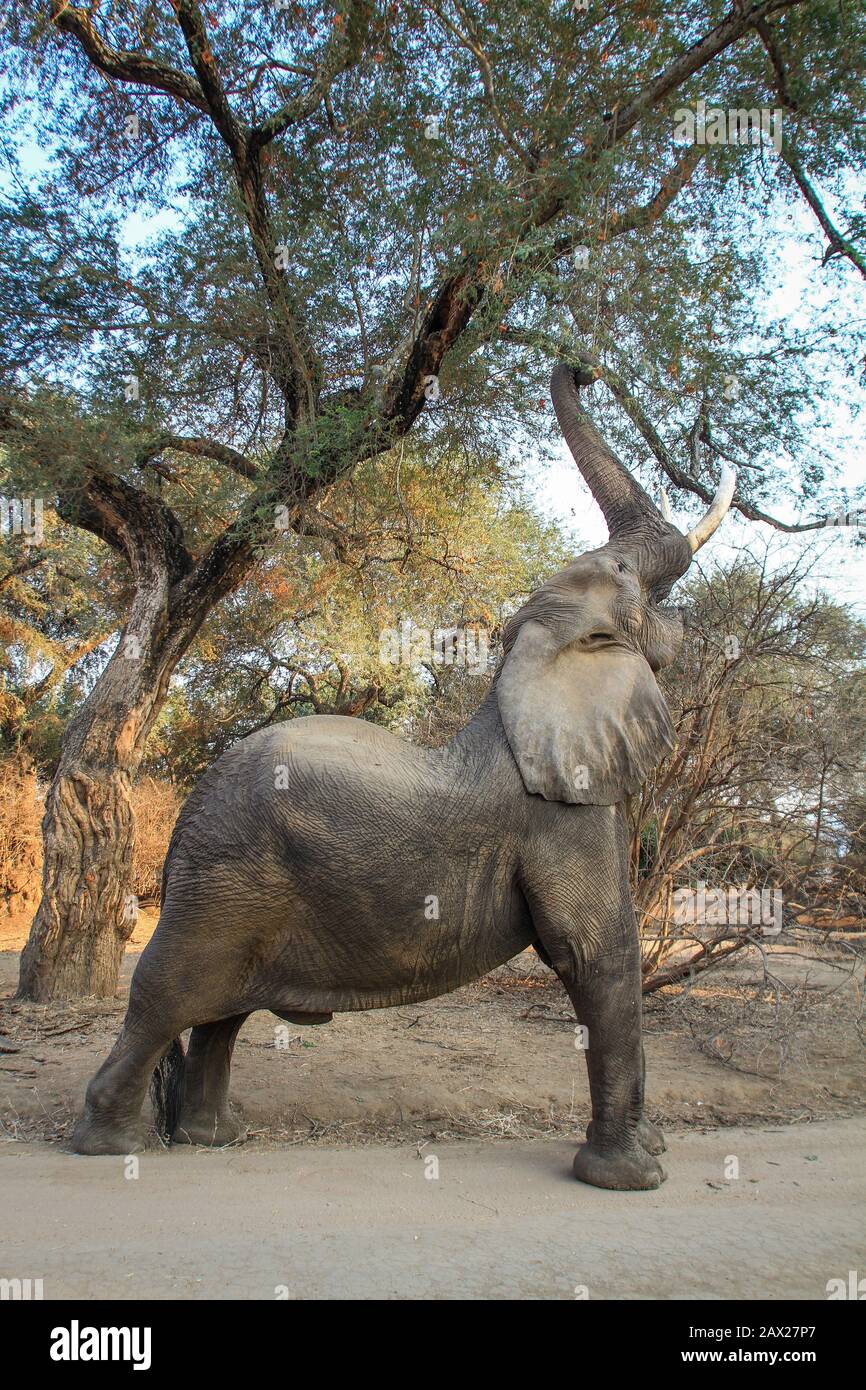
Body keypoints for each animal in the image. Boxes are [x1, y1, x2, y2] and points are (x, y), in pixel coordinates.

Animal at [71, 361, 735, 1189]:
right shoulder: (560, 816)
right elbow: (595, 952)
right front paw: (634, 1178)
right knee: (166, 996)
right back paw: (113, 1145)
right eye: (623, 575)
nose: (584, 367)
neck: (534, 662)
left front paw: (650, 1156)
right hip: (220, 880)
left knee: (219, 1014)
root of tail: (182, 819)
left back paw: (212, 1137)